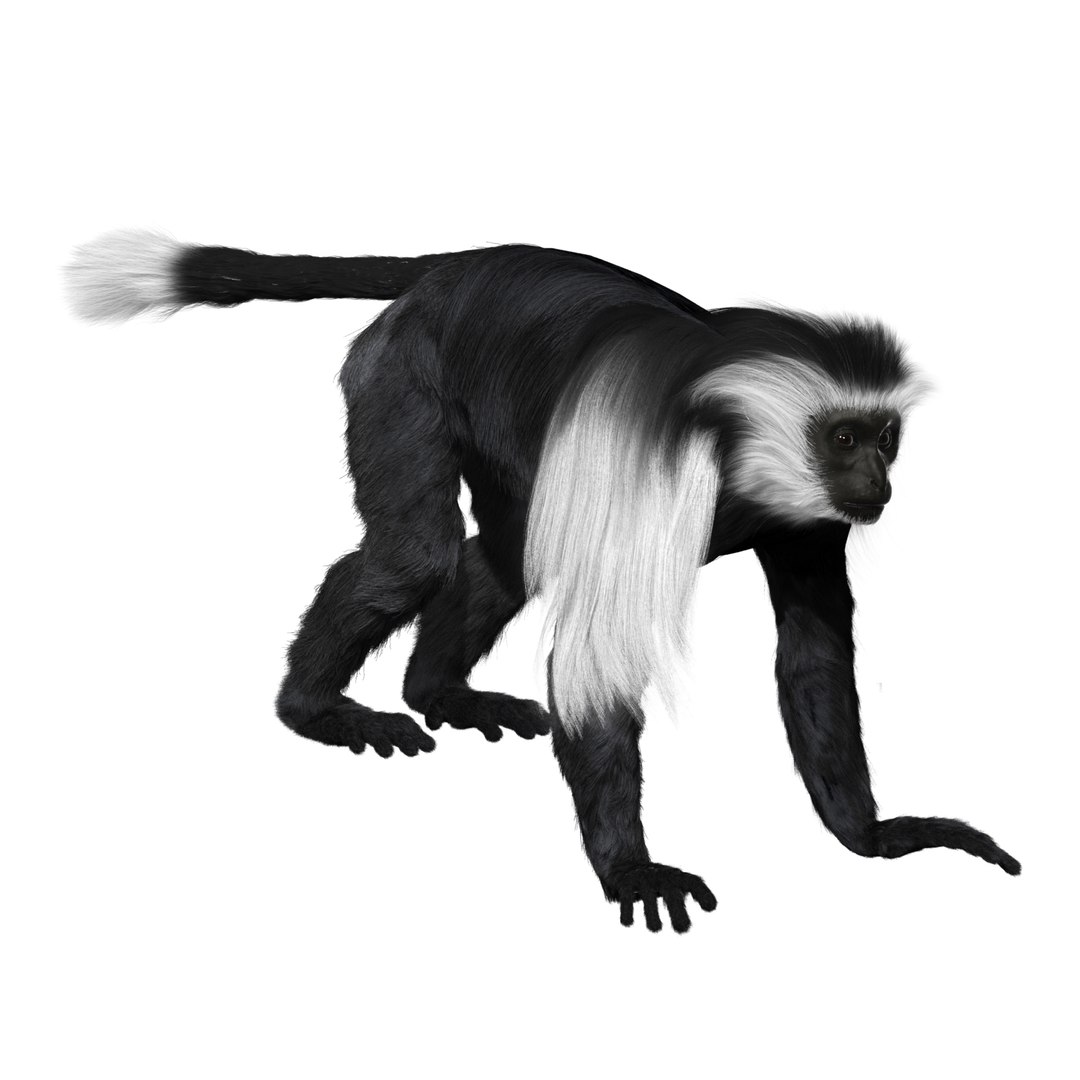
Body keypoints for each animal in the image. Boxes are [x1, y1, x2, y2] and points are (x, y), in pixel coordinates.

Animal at [66, 231, 1021, 933]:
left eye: (885, 438)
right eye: (843, 438)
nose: (878, 486)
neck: (732, 431)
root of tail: (454, 265)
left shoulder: (806, 521)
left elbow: (814, 655)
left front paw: (874, 837)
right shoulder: (654, 475)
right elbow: (596, 664)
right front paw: (631, 869)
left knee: (500, 555)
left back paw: (441, 694)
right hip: (397, 374)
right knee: (415, 556)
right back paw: (317, 709)